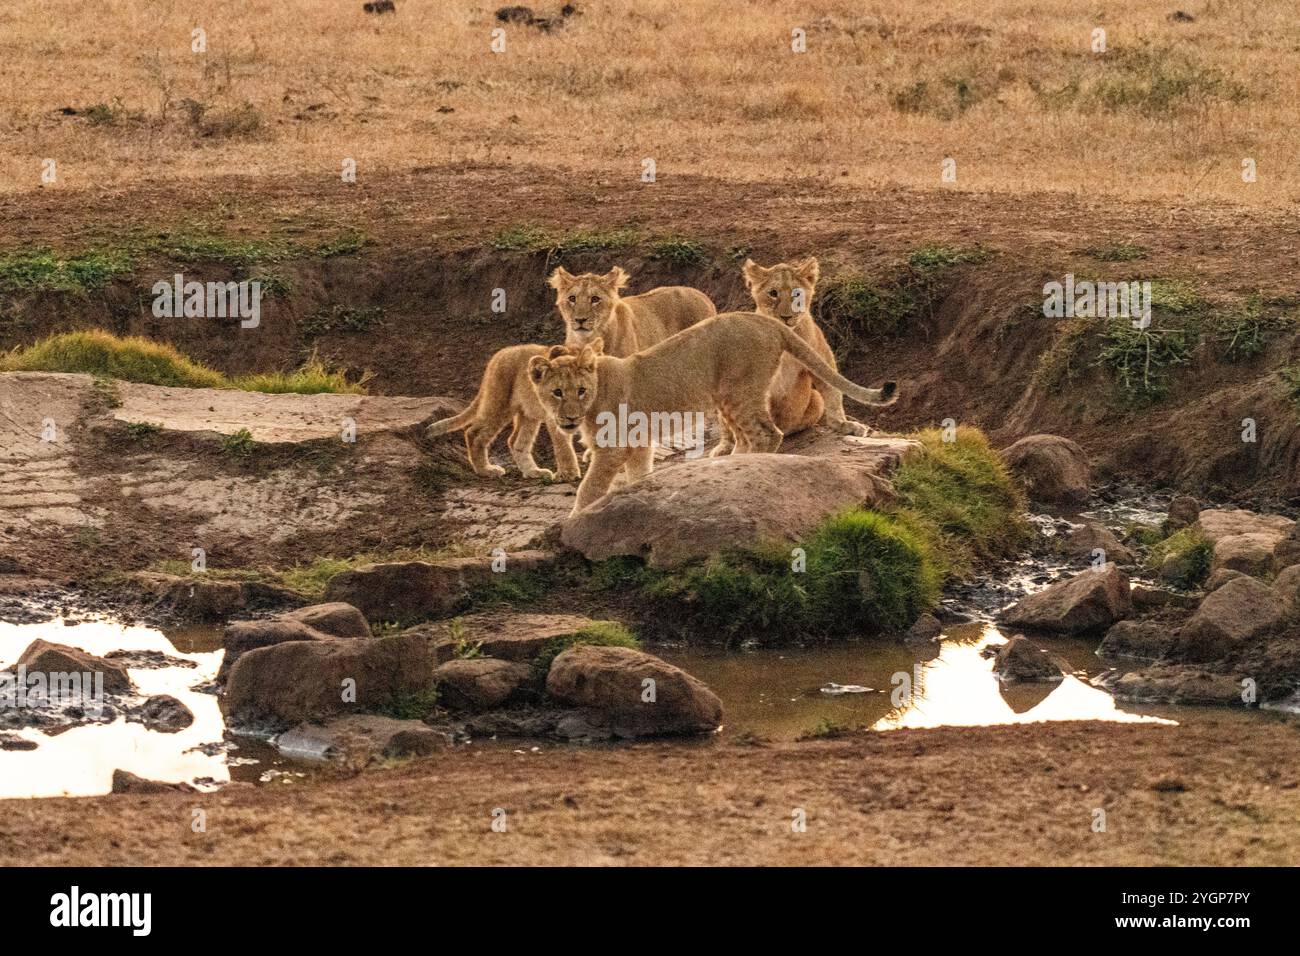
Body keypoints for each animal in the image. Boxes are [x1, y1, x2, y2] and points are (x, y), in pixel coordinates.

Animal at [424, 343, 582, 481]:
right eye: (558, 391)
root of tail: (501, 353)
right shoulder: (556, 416)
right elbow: (563, 445)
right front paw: (569, 474)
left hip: (528, 413)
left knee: (515, 441)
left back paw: (533, 471)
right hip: (500, 404)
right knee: (474, 433)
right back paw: (485, 470)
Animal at [528, 312, 898, 514]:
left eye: (580, 391)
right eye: (557, 393)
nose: (569, 418)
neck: (597, 390)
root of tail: (765, 320)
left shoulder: (613, 447)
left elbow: (589, 488)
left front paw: (575, 519)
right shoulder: (639, 444)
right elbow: (638, 476)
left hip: (737, 391)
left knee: (768, 433)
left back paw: (744, 467)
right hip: (727, 398)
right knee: (750, 436)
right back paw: (730, 464)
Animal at [712, 256, 870, 456]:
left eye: (797, 293)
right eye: (773, 293)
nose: (786, 316)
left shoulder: (821, 358)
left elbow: (833, 393)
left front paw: (844, 424)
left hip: (815, 400)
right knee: (730, 429)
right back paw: (724, 449)